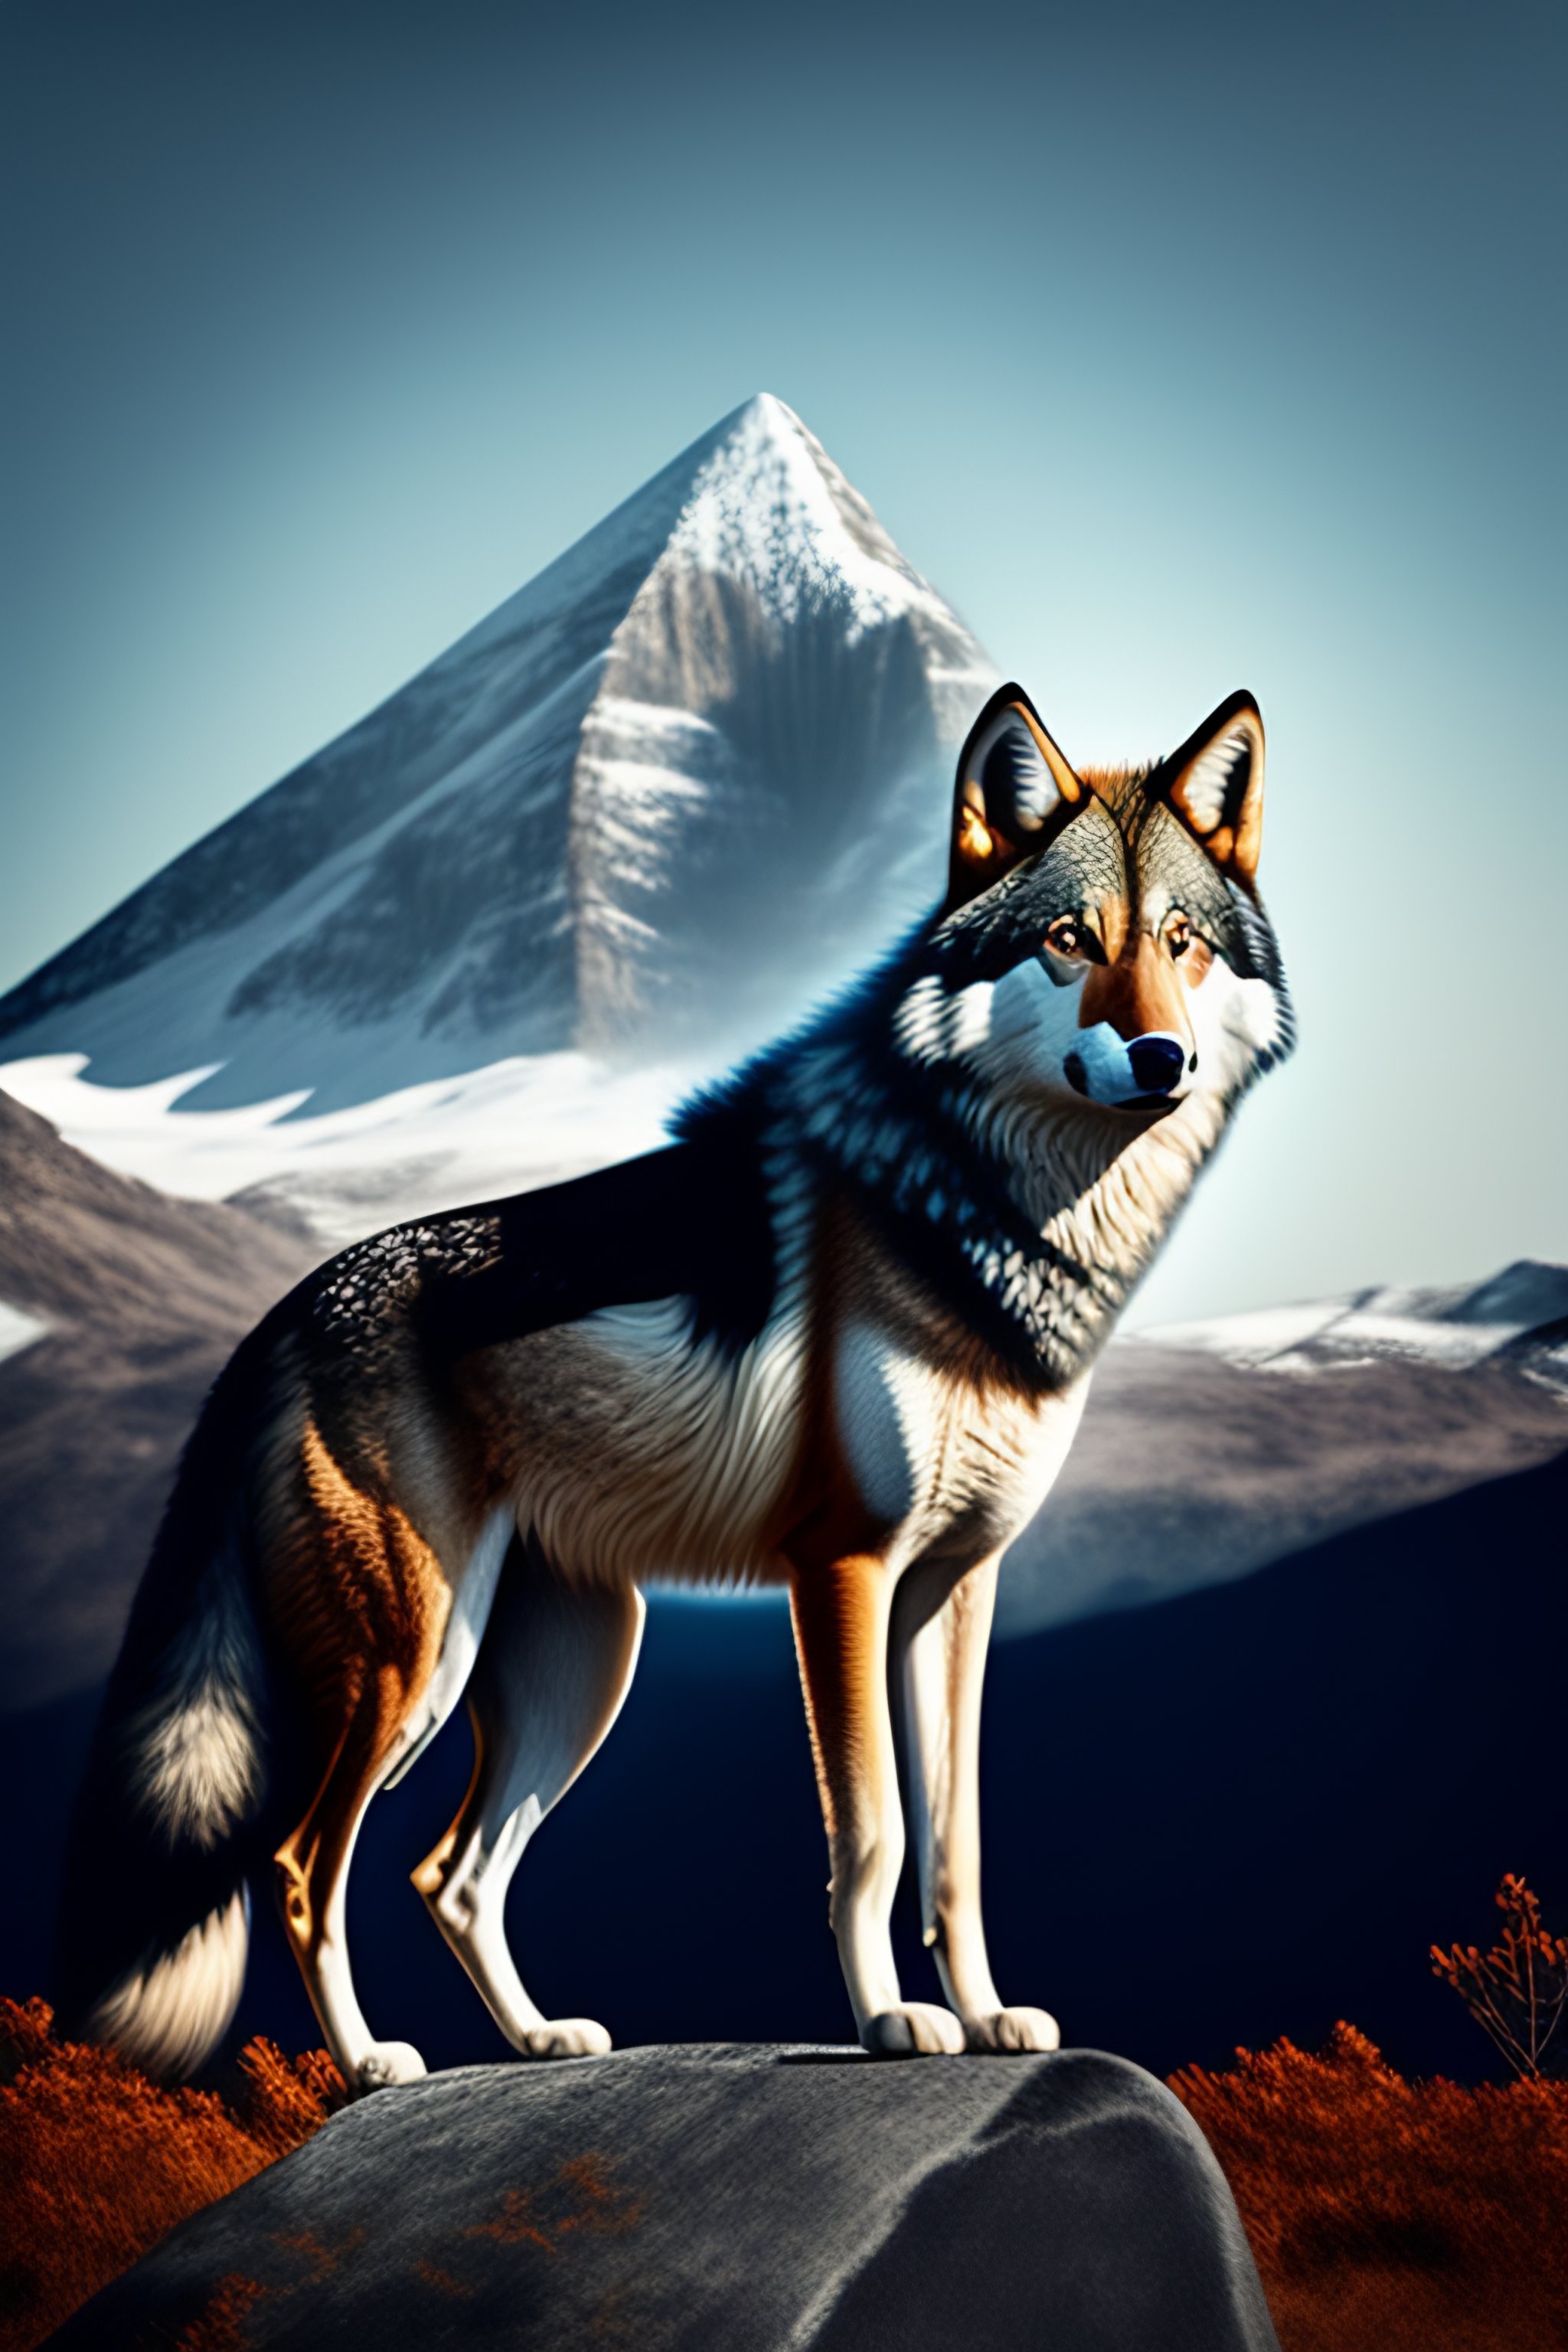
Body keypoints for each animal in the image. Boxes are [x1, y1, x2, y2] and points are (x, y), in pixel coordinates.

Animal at [55, 682, 1292, 2092]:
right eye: (1069, 939)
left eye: (1182, 943)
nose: (1159, 1056)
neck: (978, 1224)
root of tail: (280, 1314)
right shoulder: (842, 1571)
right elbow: (870, 1835)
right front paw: (886, 2025)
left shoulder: (954, 1588)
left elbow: (957, 1851)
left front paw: (985, 2019)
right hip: (417, 1668)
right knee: (303, 1863)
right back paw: (374, 2063)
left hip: (581, 1666)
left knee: (448, 1873)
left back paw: (541, 2040)